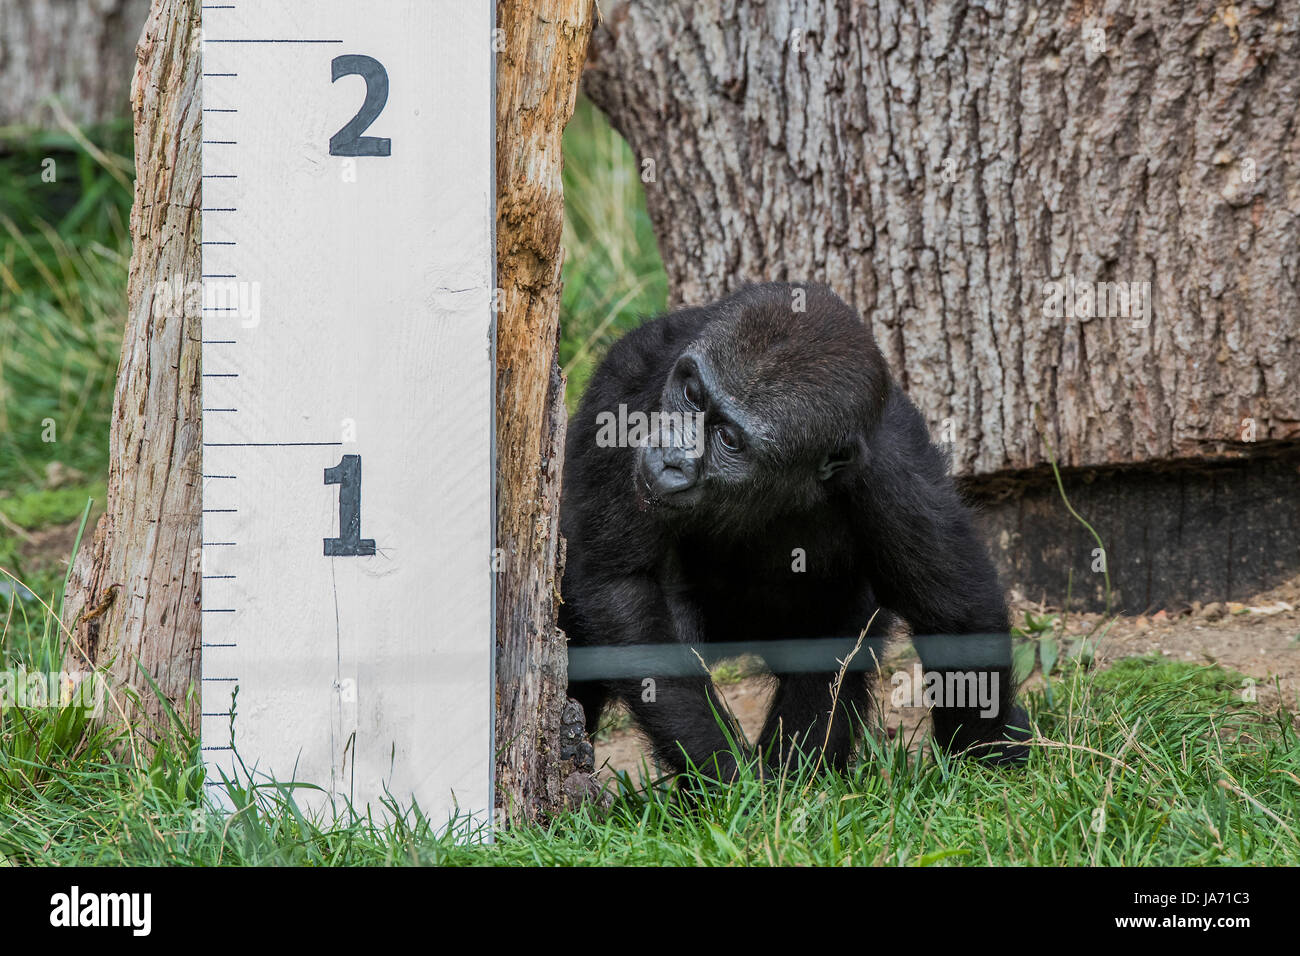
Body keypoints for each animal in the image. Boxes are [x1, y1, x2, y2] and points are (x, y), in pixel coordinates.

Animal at [559, 282, 1029, 782]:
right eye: (690, 394)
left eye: (728, 439)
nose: (669, 458)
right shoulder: (630, 386)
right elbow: (623, 588)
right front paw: (726, 774)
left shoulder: (896, 468)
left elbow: (956, 614)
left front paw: (982, 759)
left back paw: (801, 774)